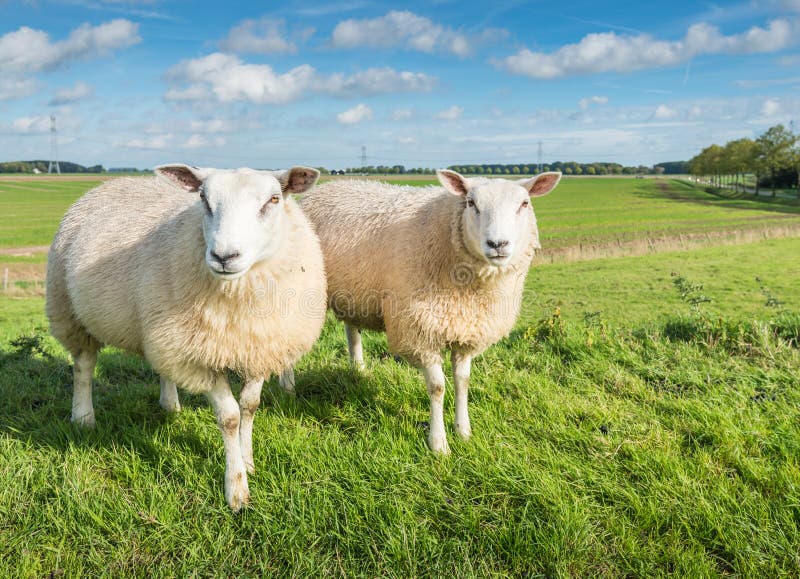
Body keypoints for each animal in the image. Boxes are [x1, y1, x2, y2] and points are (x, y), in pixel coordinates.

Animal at [46, 165, 327, 511]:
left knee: (160, 366)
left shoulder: (261, 344)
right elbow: (230, 417)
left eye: (274, 199)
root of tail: (112, 183)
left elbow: (250, 406)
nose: (224, 256)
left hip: (161, 329)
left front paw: (247, 460)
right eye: (203, 199)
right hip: (70, 310)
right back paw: (84, 417)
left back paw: (170, 405)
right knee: (83, 367)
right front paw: (236, 489)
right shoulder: (198, 357)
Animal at [299, 169, 561, 453]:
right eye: (471, 203)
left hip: (354, 293)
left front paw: (463, 431)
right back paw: (289, 387)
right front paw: (439, 443)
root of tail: (325, 188)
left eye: (524, 204)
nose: (498, 244)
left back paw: (358, 370)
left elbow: (462, 381)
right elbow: (437, 387)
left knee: (352, 331)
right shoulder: (421, 330)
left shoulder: (466, 329)